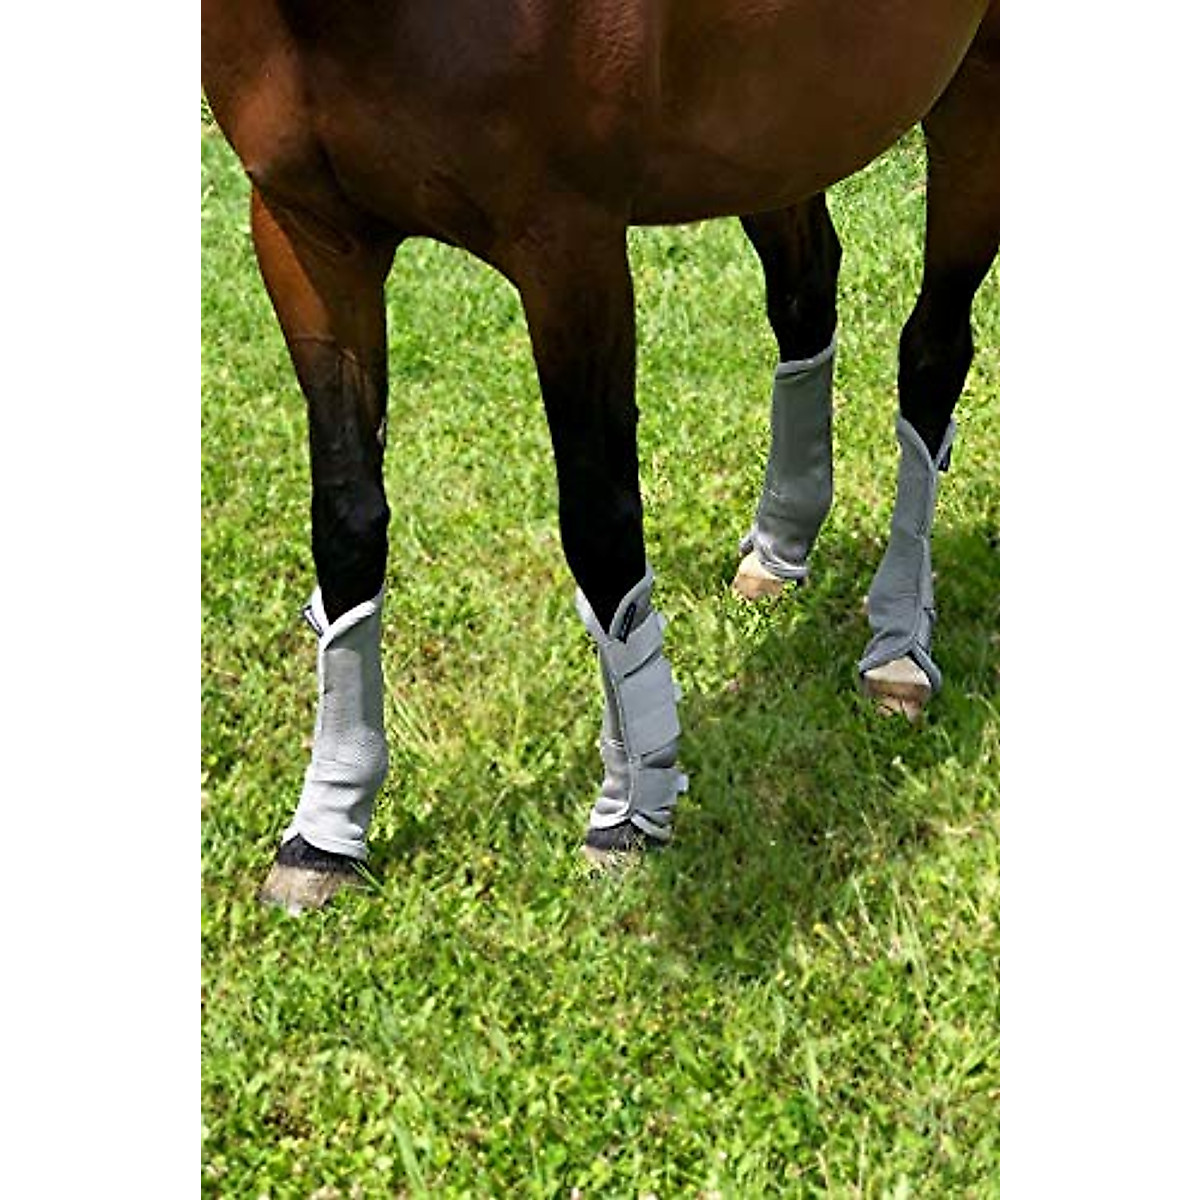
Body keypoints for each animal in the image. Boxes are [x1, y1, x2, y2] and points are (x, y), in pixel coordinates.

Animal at [201, 0, 999, 910]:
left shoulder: (568, 245)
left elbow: (599, 518)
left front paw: (631, 810)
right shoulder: (306, 236)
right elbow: (346, 519)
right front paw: (328, 826)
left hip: (972, 98)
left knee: (932, 354)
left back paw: (898, 641)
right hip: (777, 128)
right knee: (806, 295)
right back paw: (781, 546)